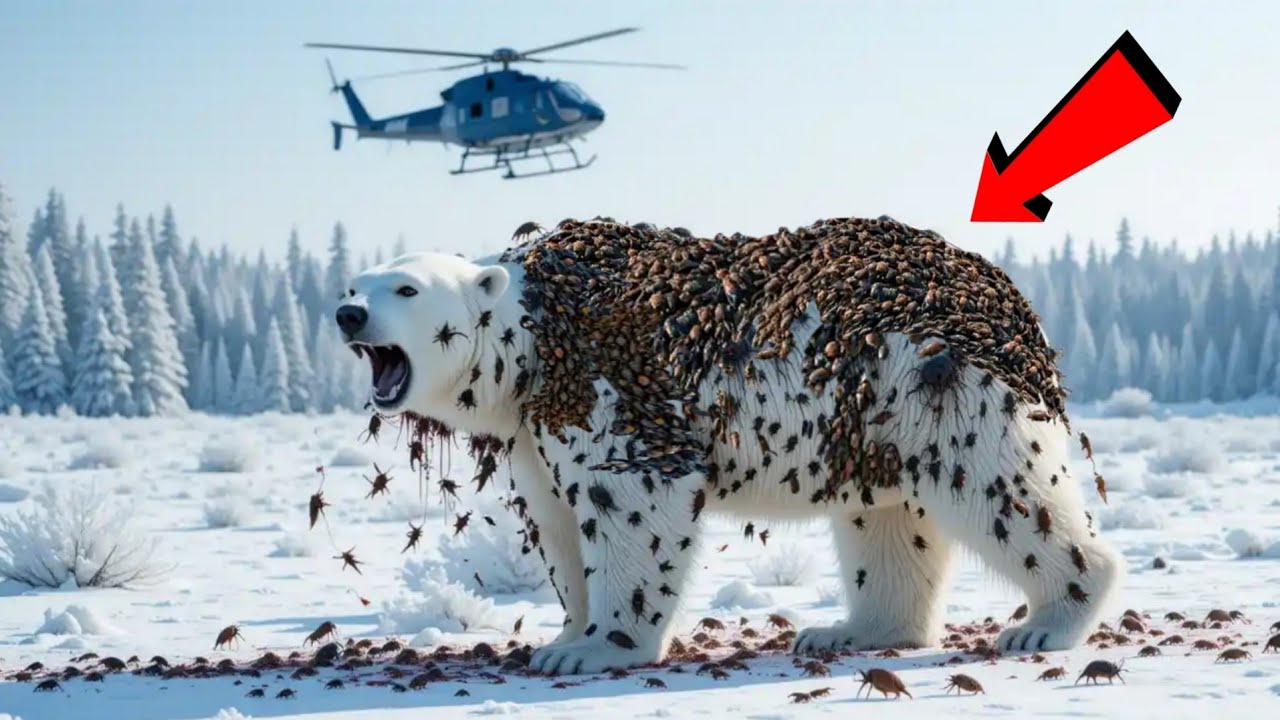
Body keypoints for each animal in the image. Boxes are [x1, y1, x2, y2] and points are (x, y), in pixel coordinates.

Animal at [335, 216, 1121, 675]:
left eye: (405, 289)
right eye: (353, 285)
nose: (347, 314)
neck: (533, 334)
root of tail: (1013, 300)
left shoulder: (610, 385)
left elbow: (631, 500)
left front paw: (598, 649)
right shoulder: (534, 425)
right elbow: (557, 521)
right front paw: (558, 640)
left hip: (943, 384)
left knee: (1003, 490)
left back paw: (1046, 623)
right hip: (874, 417)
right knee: (887, 522)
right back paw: (851, 631)